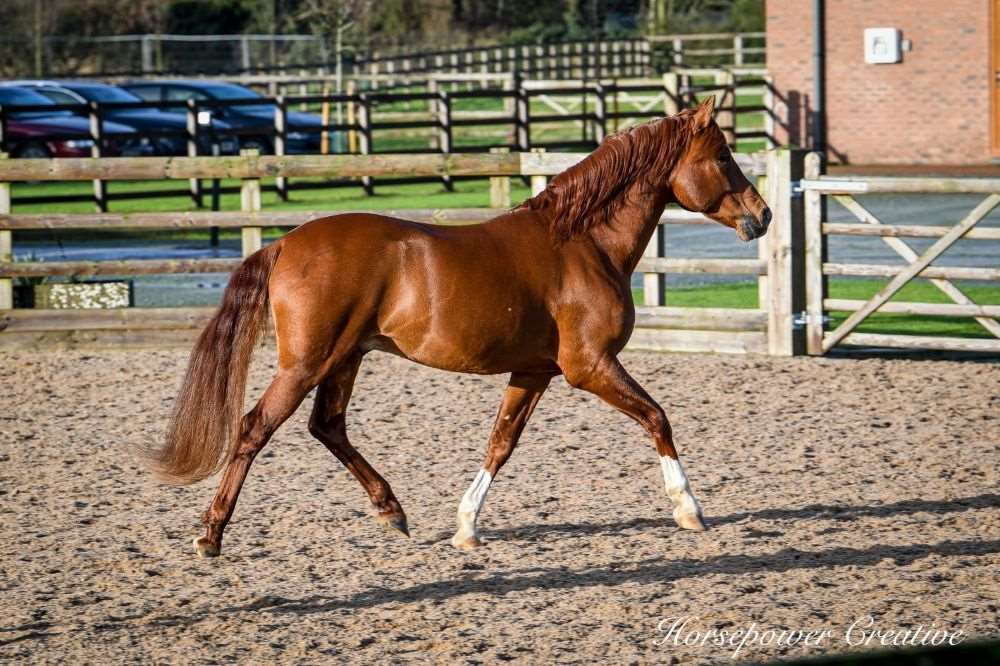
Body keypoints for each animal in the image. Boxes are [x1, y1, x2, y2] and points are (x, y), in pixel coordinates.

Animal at [147, 96, 771, 557]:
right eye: (723, 156)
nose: (762, 216)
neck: (585, 243)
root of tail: (285, 243)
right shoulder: (589, 366)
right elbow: (657, 418)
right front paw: (689, 509)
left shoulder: (534, 372)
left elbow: (501, 443)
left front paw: (466, 525)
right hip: (306, 363)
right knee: (255, 428)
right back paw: (211, 535)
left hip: (346, 358)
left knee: (328, 427)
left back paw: (392, 512)